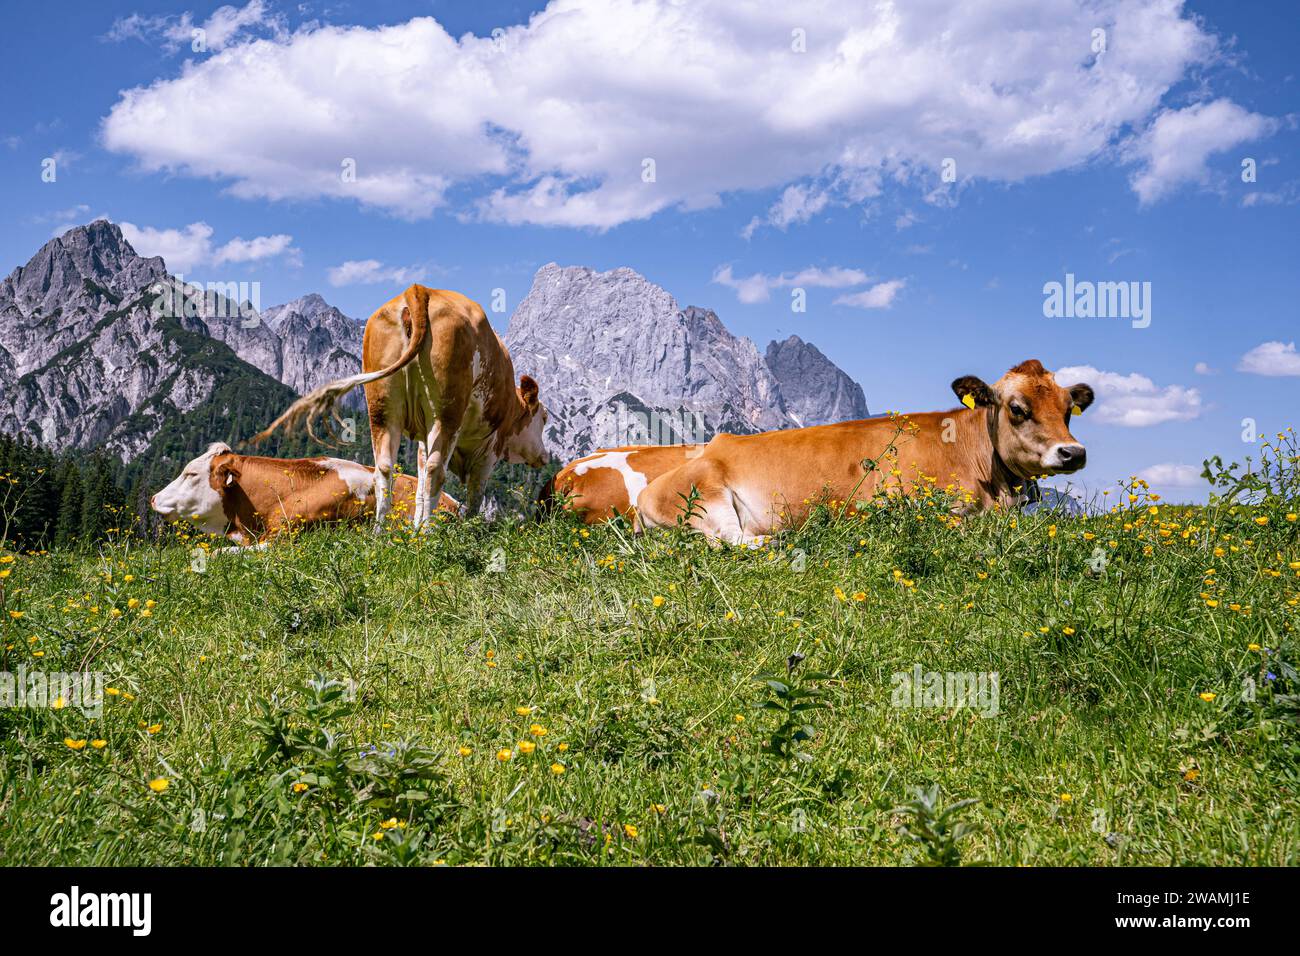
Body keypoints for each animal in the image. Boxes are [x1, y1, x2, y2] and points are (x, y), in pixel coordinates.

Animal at [255, 285, 547, 529]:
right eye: (544, 418)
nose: (544, 457)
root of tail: (420, 290)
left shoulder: (422, 441)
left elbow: (418, 485)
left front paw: (415, 525)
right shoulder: (490, 446)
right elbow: (475, 493)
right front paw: (469, 530)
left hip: (381, 408)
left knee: (384, 468)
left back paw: (380, 533)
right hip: (446, 412)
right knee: (435, 471)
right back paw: (427, 533)